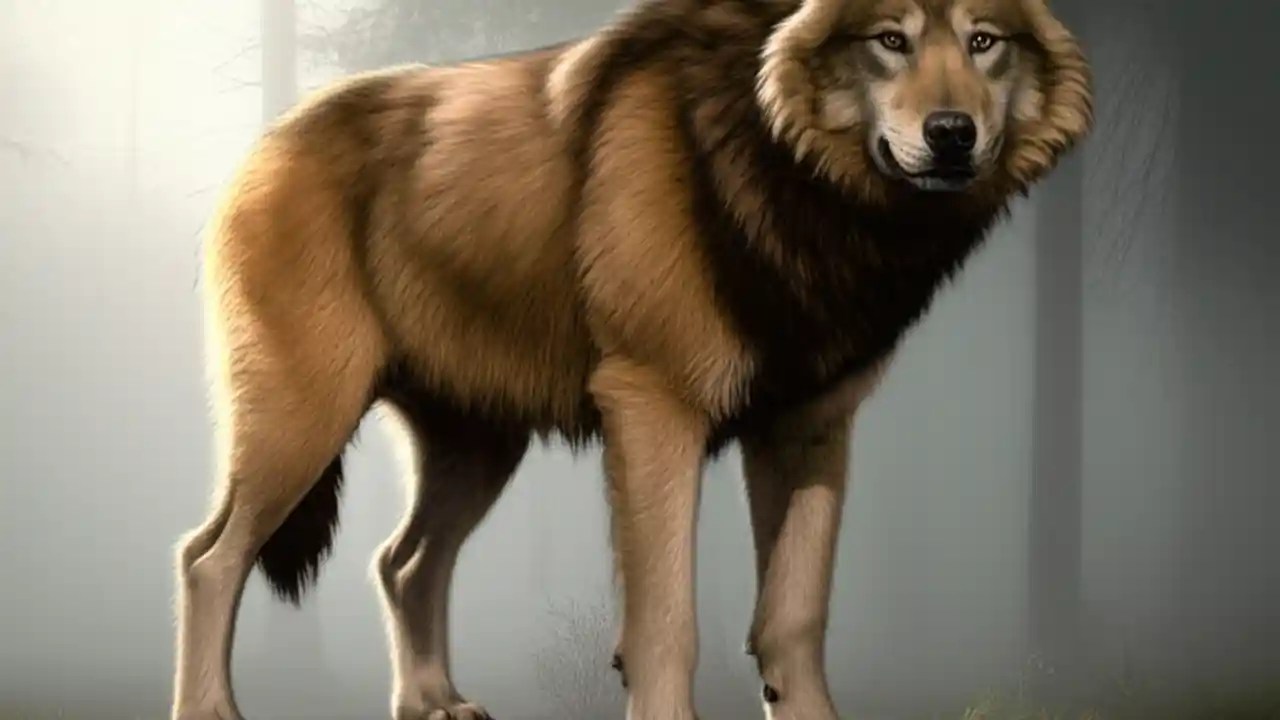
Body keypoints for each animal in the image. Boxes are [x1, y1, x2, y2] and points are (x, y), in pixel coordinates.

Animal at [171, 0, 1092, 718]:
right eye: (890, 39)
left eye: (983, 40)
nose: (951, 134)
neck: (775, 172)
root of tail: (267, 147)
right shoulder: (653, 413)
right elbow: (665, 627)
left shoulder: (811, 430)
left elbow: (794, 620)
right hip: (304, 424)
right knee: (208, 558)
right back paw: (212, 708)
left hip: (478, 452)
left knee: (403, 563)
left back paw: (432, 703)